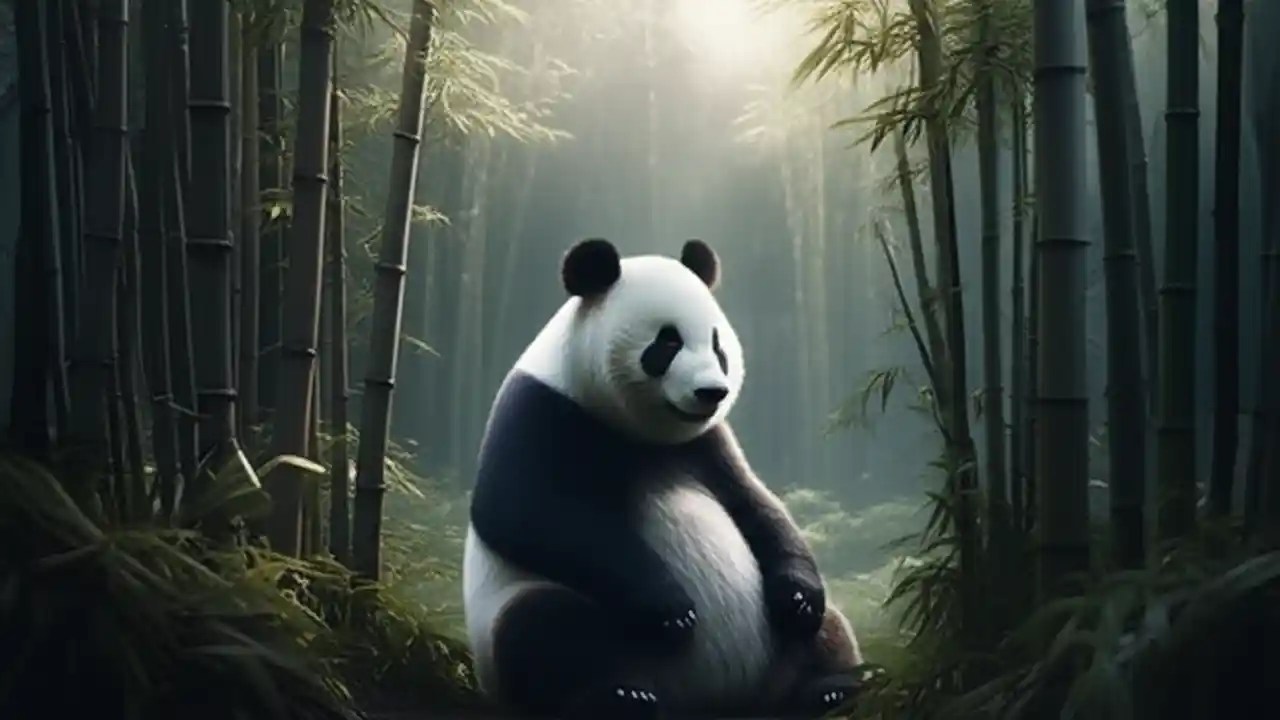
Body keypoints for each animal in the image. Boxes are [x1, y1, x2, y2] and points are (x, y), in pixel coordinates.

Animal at [462, 238, 863, 719]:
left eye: (717, 344)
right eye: (667, 342)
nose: (712, 392)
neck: (639, 433)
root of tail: (711, 701)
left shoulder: (708, 442)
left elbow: (756, 504)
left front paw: (800, 598)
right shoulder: (540, 409)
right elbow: (522, 510)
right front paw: (671, 608)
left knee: (826, 629)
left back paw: (827, 688)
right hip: (528, 615)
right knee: (547, 631)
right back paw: (620, 697)